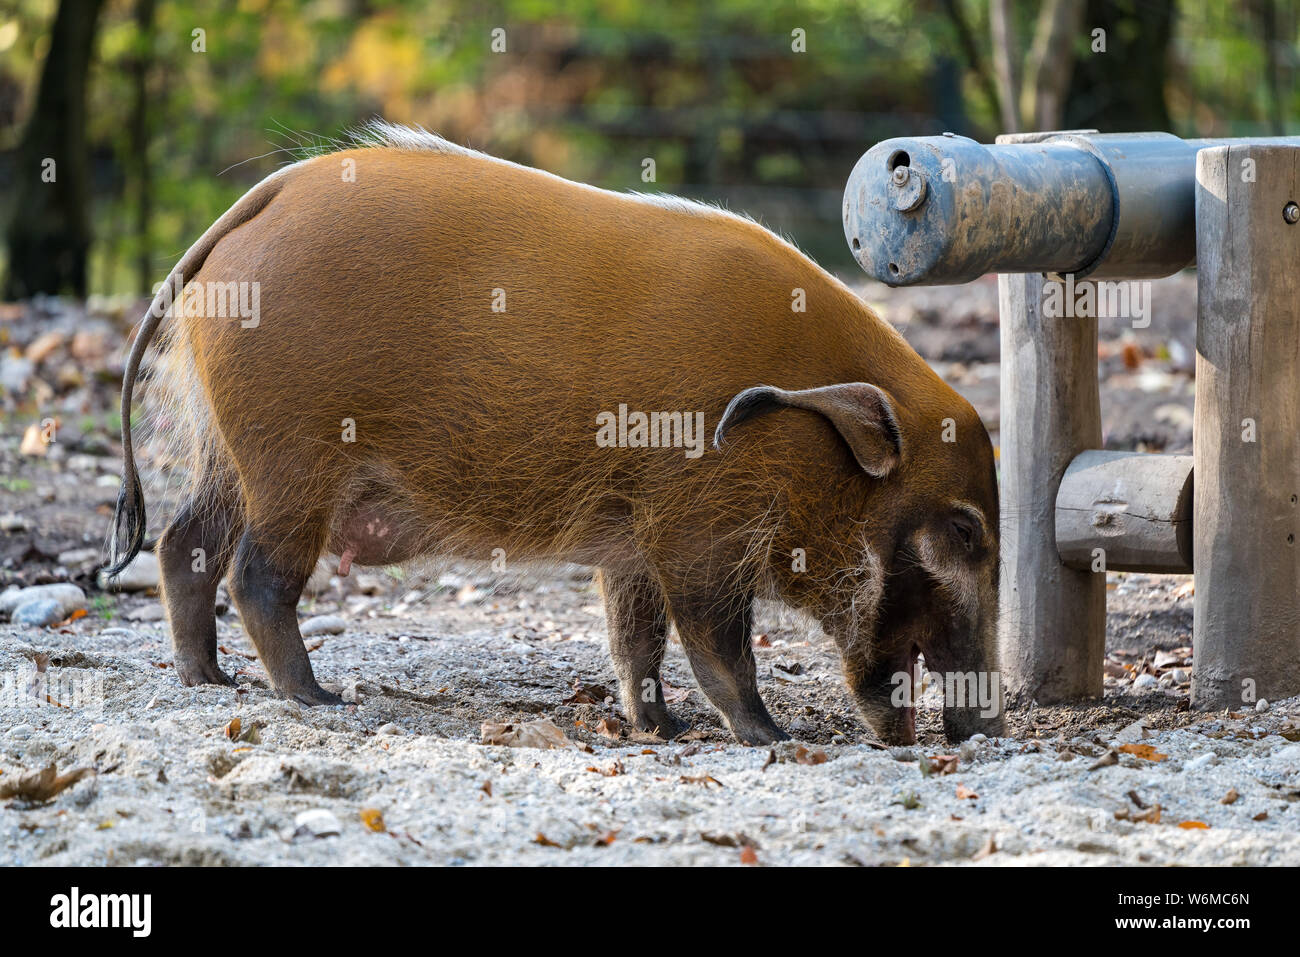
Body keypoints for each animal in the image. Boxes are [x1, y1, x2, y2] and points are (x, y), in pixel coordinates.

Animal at [106, 121, 1003, 746]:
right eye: (964, 531)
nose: (986, 727)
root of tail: (248, 211)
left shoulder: (631, 542)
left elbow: (636, 640)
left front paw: (660, 730)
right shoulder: (697, 527)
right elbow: (715, 640)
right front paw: (767, 734)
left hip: (234, 456)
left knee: (183, 544)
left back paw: (207, 679)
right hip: (292, 461)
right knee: (255, 574)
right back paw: (316, 695)